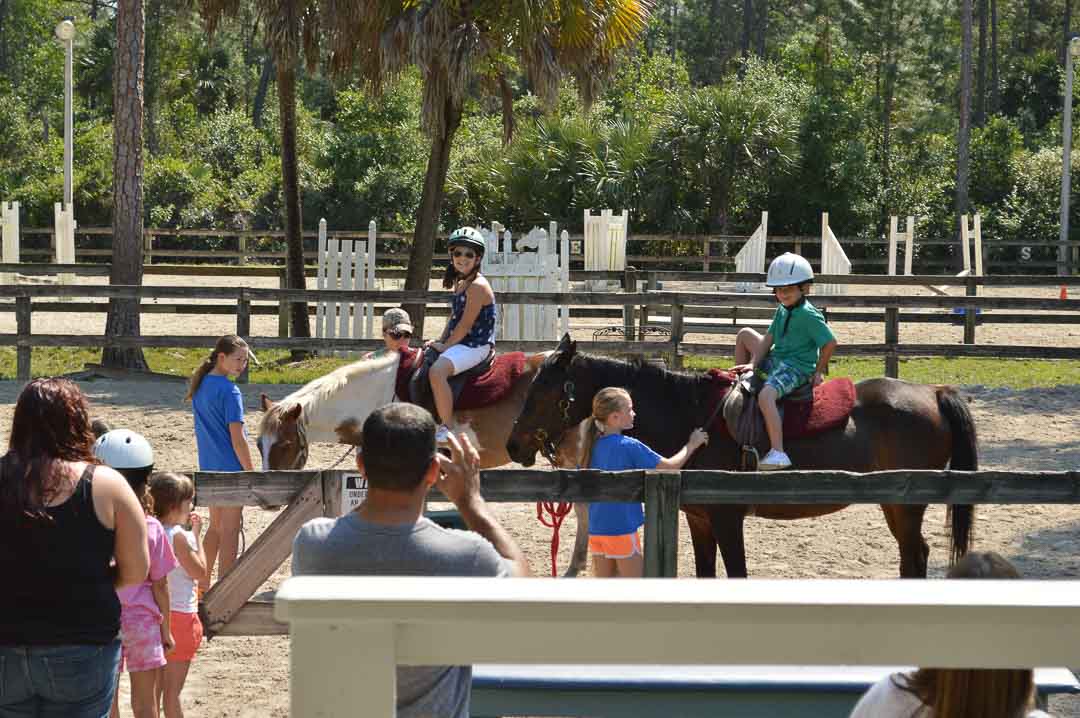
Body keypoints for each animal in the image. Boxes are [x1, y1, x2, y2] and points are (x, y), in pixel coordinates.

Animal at [505, 334, 978, 579]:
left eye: (542, 391)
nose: (513, 445)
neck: (693, 412)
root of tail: (934, 392)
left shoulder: (727, 518)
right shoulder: (699, 520)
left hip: (906, 505)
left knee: (914, 555)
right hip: (895, 504)